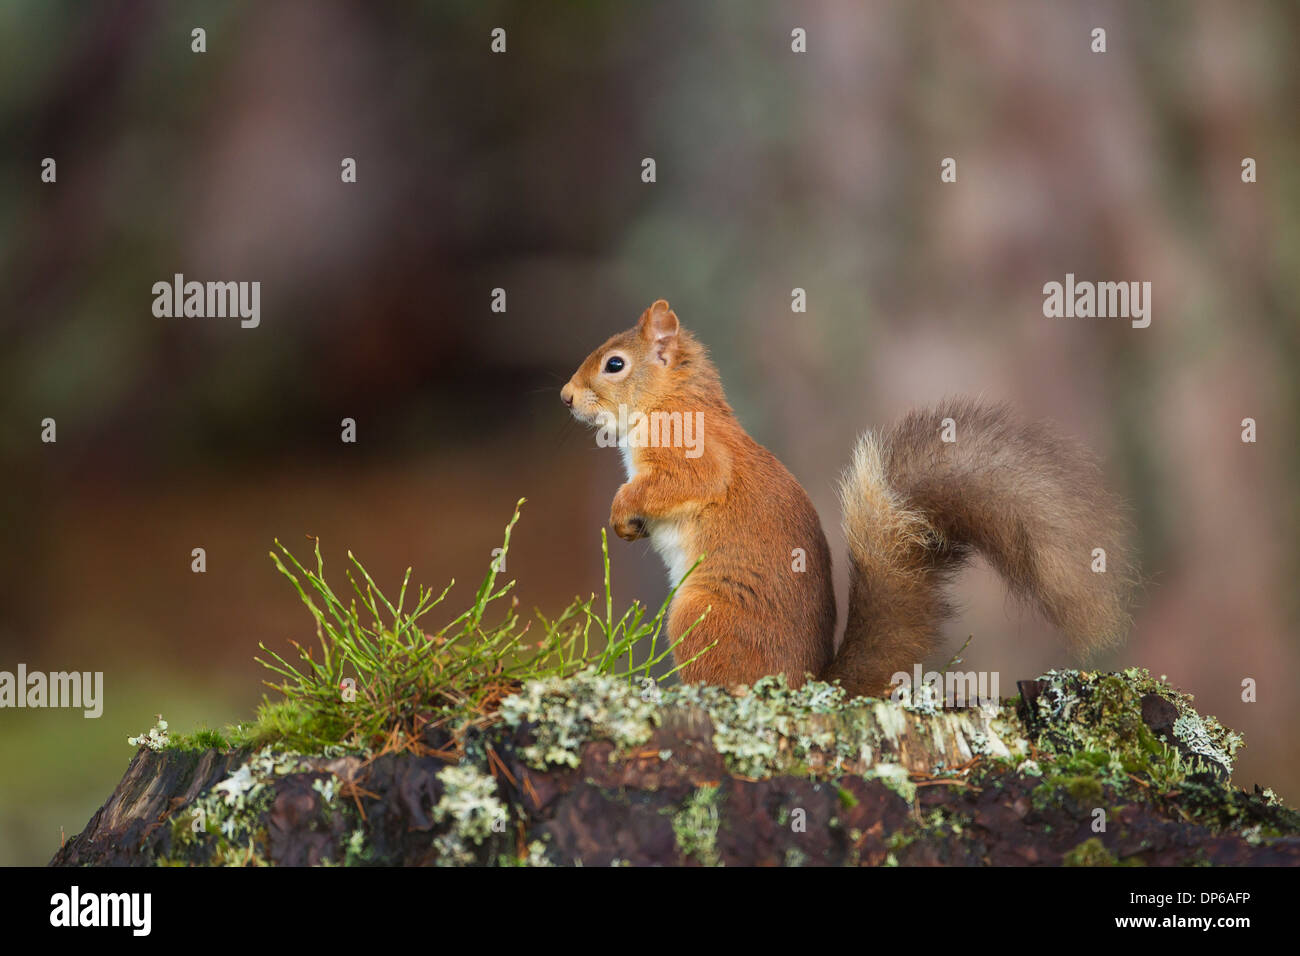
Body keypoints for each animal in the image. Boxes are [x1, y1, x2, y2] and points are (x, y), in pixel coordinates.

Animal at [560, 299, 1137, 698]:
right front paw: (629, 525)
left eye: (615, 365)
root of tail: (805, 685)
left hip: (703, 614)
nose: (565, 397)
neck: (670, 399)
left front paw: (621, 508)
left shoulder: (691, 450)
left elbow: (686, 482)